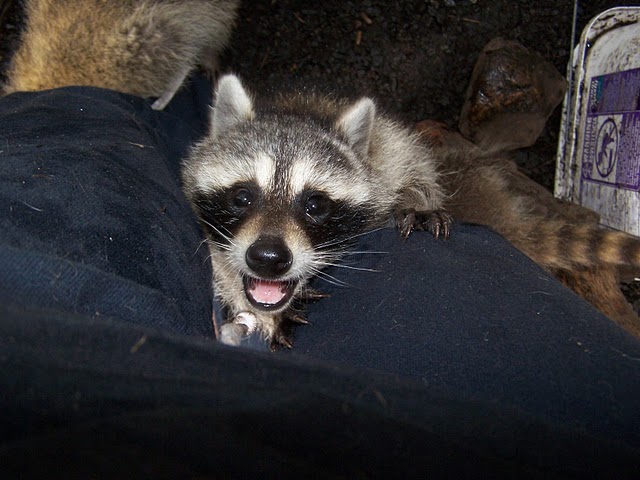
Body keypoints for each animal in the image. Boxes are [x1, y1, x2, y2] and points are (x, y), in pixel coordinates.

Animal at [181, 74, 451, 349]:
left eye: (315, 205)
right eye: (242, 197)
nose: (268, 258)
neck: (300, 109)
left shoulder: (390, 146)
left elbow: (415, 165)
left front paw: (416, 199)